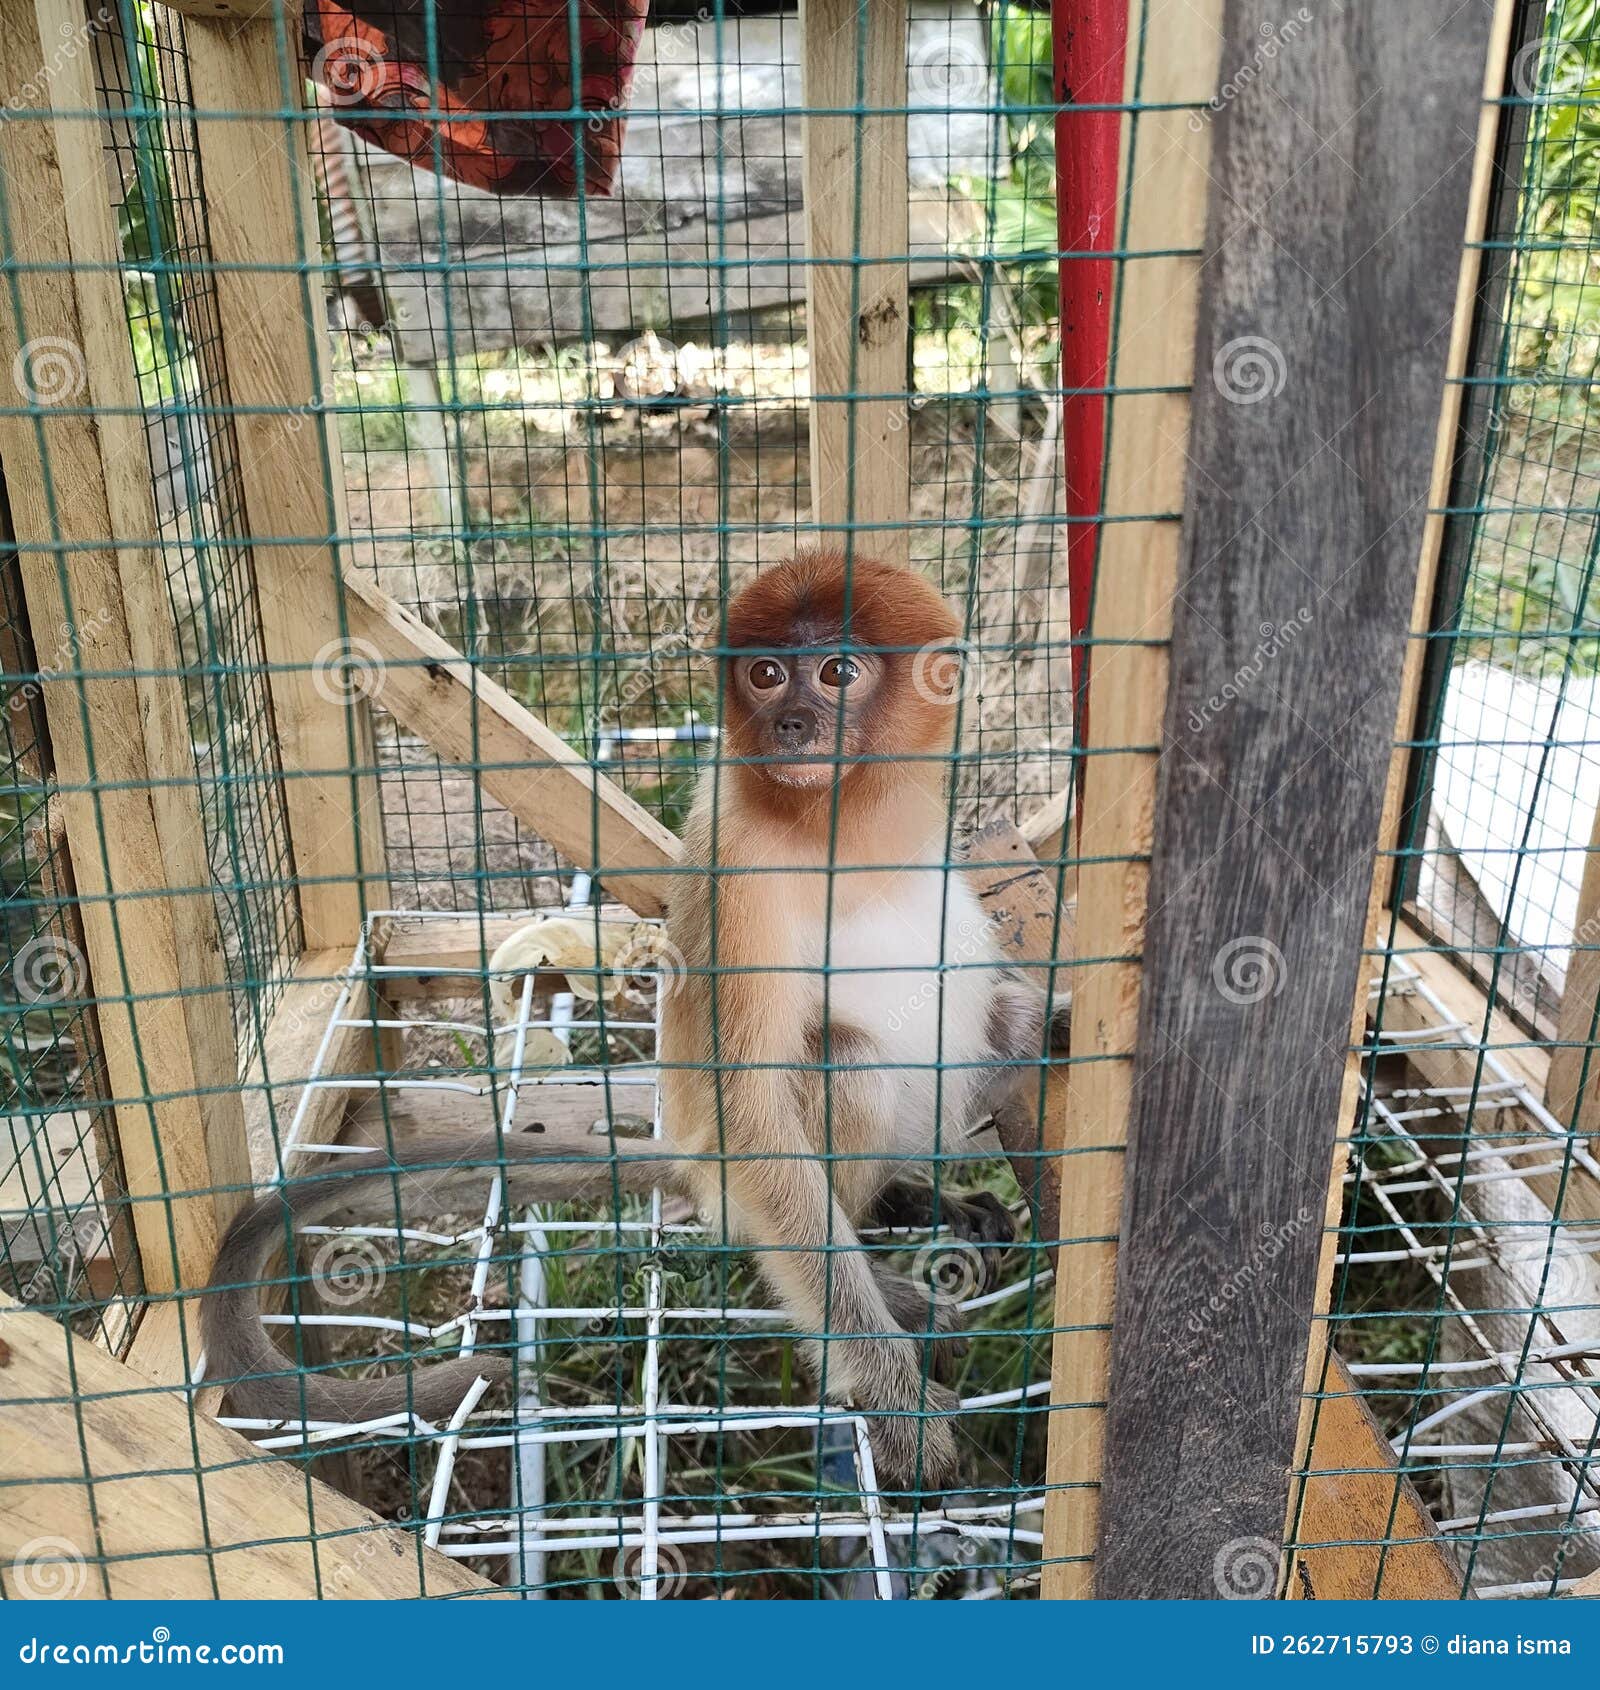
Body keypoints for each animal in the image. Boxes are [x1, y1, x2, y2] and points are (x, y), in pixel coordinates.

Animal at [202, 551, 1065, 1490]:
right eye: (767, 676)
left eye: (837, 673)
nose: (793, 725)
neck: (850, 827)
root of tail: (688, 1158)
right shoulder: (738, 871)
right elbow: (756, 1114)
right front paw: (893, 1395)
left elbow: (1004, 998)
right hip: (733, 1182)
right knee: (843, 1065)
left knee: (1005, 1021)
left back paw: (915, 1193)